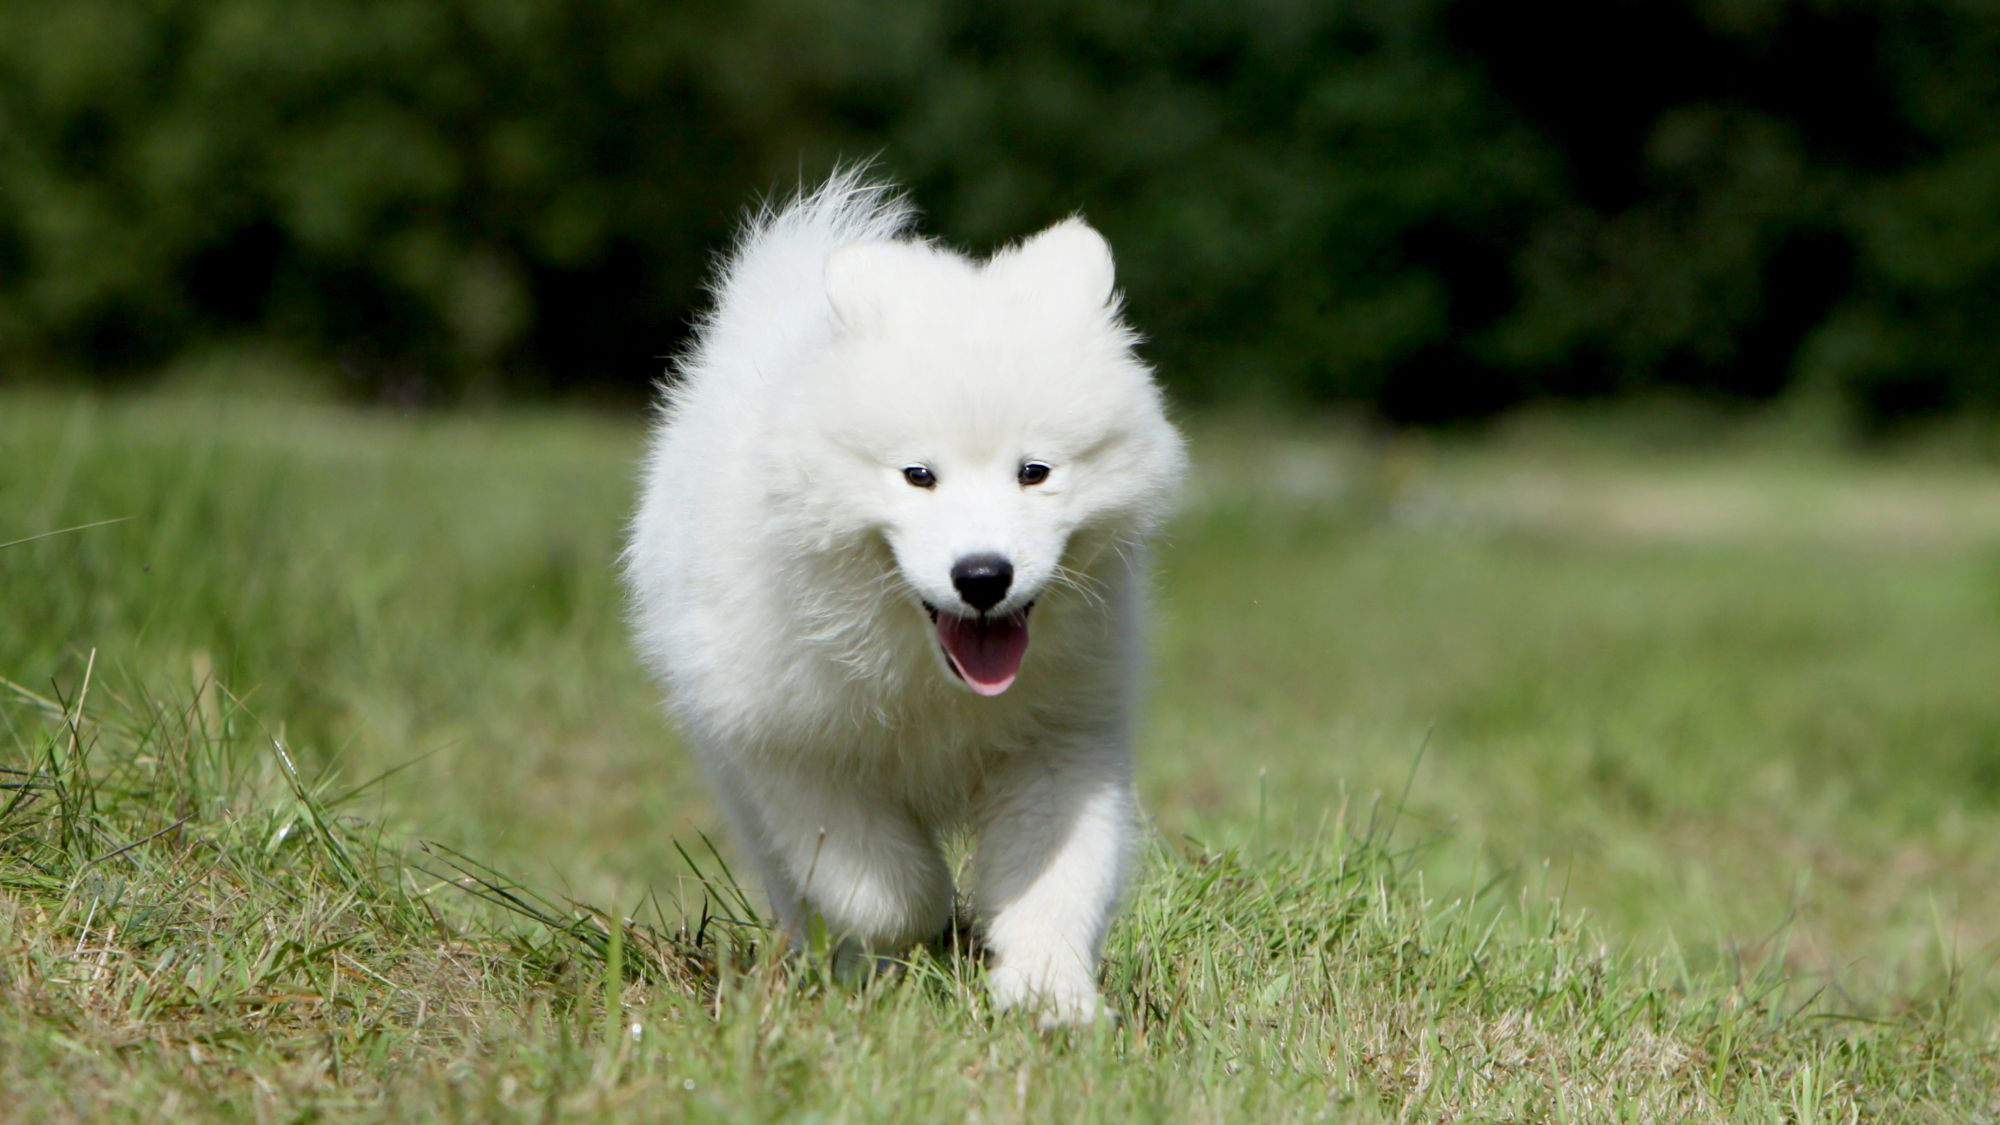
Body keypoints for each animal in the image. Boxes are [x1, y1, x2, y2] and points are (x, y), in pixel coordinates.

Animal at [624, 171, 1184, 1020]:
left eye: (1035, 472)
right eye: (918, 475)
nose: (982, 576)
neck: (929, 673)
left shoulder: (1064, 736)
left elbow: (1055, 879)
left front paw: (1048, 995)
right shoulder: (792, 748)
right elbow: (884, 884)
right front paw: (917, 939)